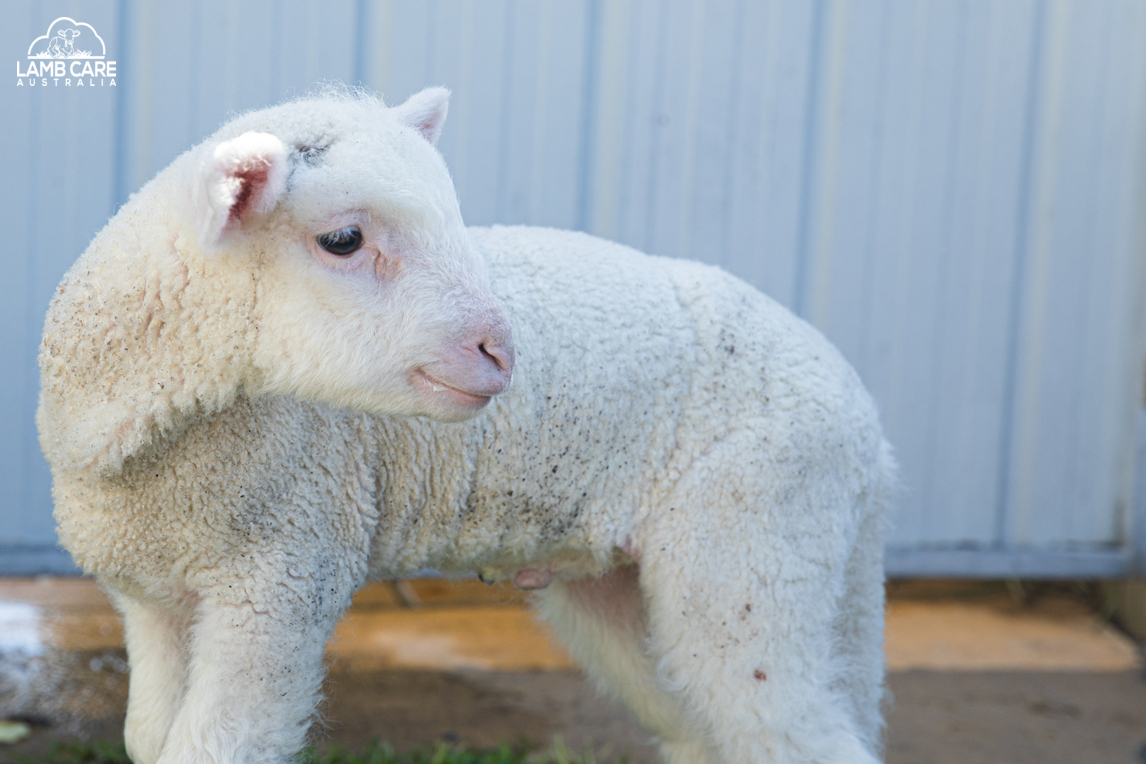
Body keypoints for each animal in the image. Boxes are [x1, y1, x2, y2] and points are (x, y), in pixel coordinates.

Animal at [38, 87, 895, 764]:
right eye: (342, 239)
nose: (502, 353)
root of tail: (871, 438)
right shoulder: (154, 598)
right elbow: (150, 740)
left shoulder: (282, 576)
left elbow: (216, 745)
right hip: (666, 583)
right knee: (703, 729)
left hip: (752, 549)